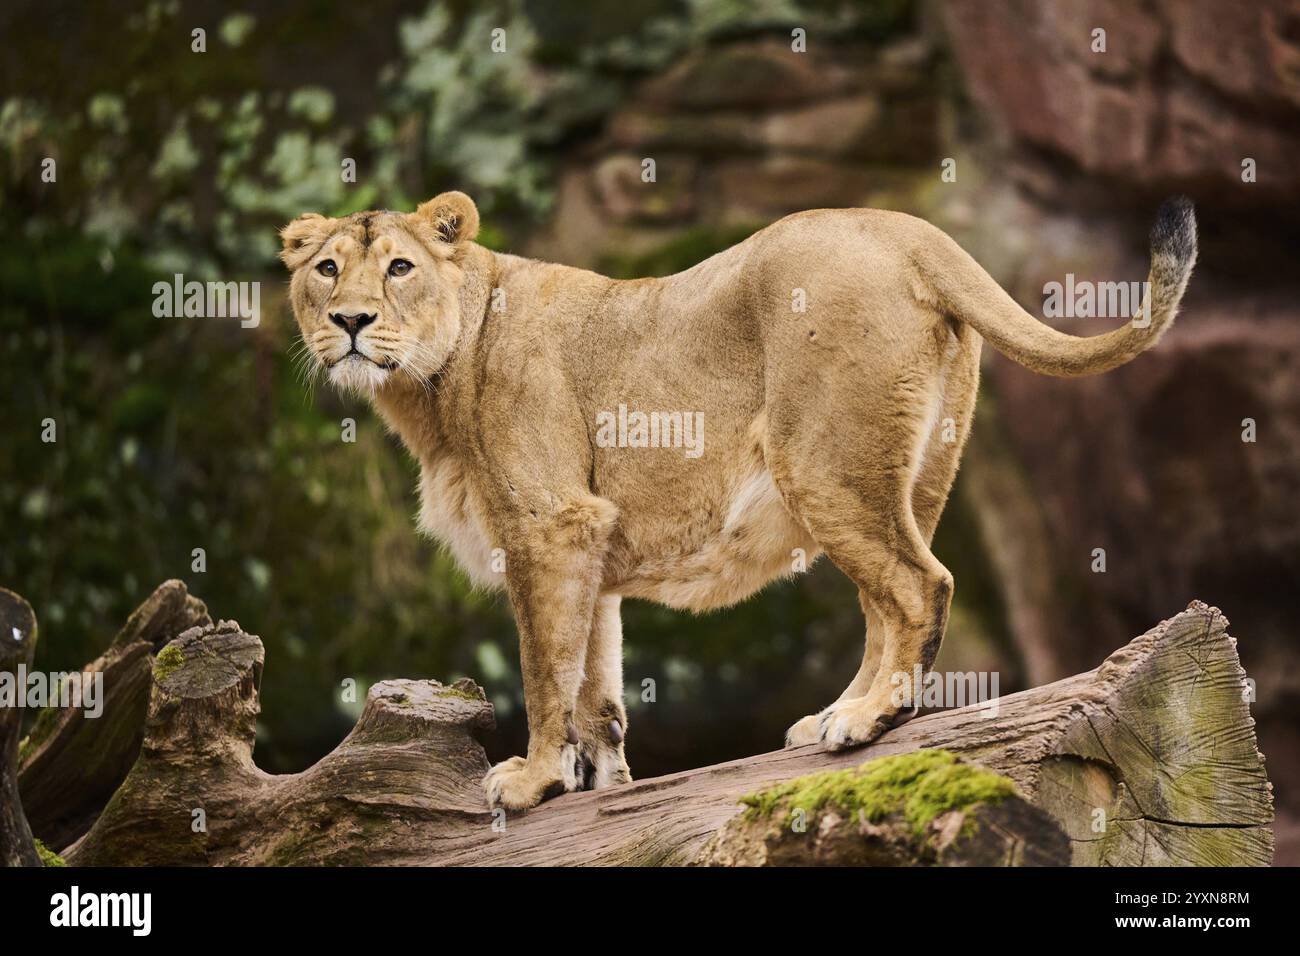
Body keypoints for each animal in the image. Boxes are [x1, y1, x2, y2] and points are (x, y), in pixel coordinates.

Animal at [281, 192, 1196, 810]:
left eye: (399, 268)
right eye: (326, 268)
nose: (351, 320)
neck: (429, 389)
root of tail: (909, 228)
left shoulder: (552, 525)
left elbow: (546, 673)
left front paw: (533, 780)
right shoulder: (590, 547)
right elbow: (597, 688)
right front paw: (602, 786)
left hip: (823, 466)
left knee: (919, 587)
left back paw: (865, 721)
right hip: (913, 475)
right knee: (887, 601)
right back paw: (839, 714)